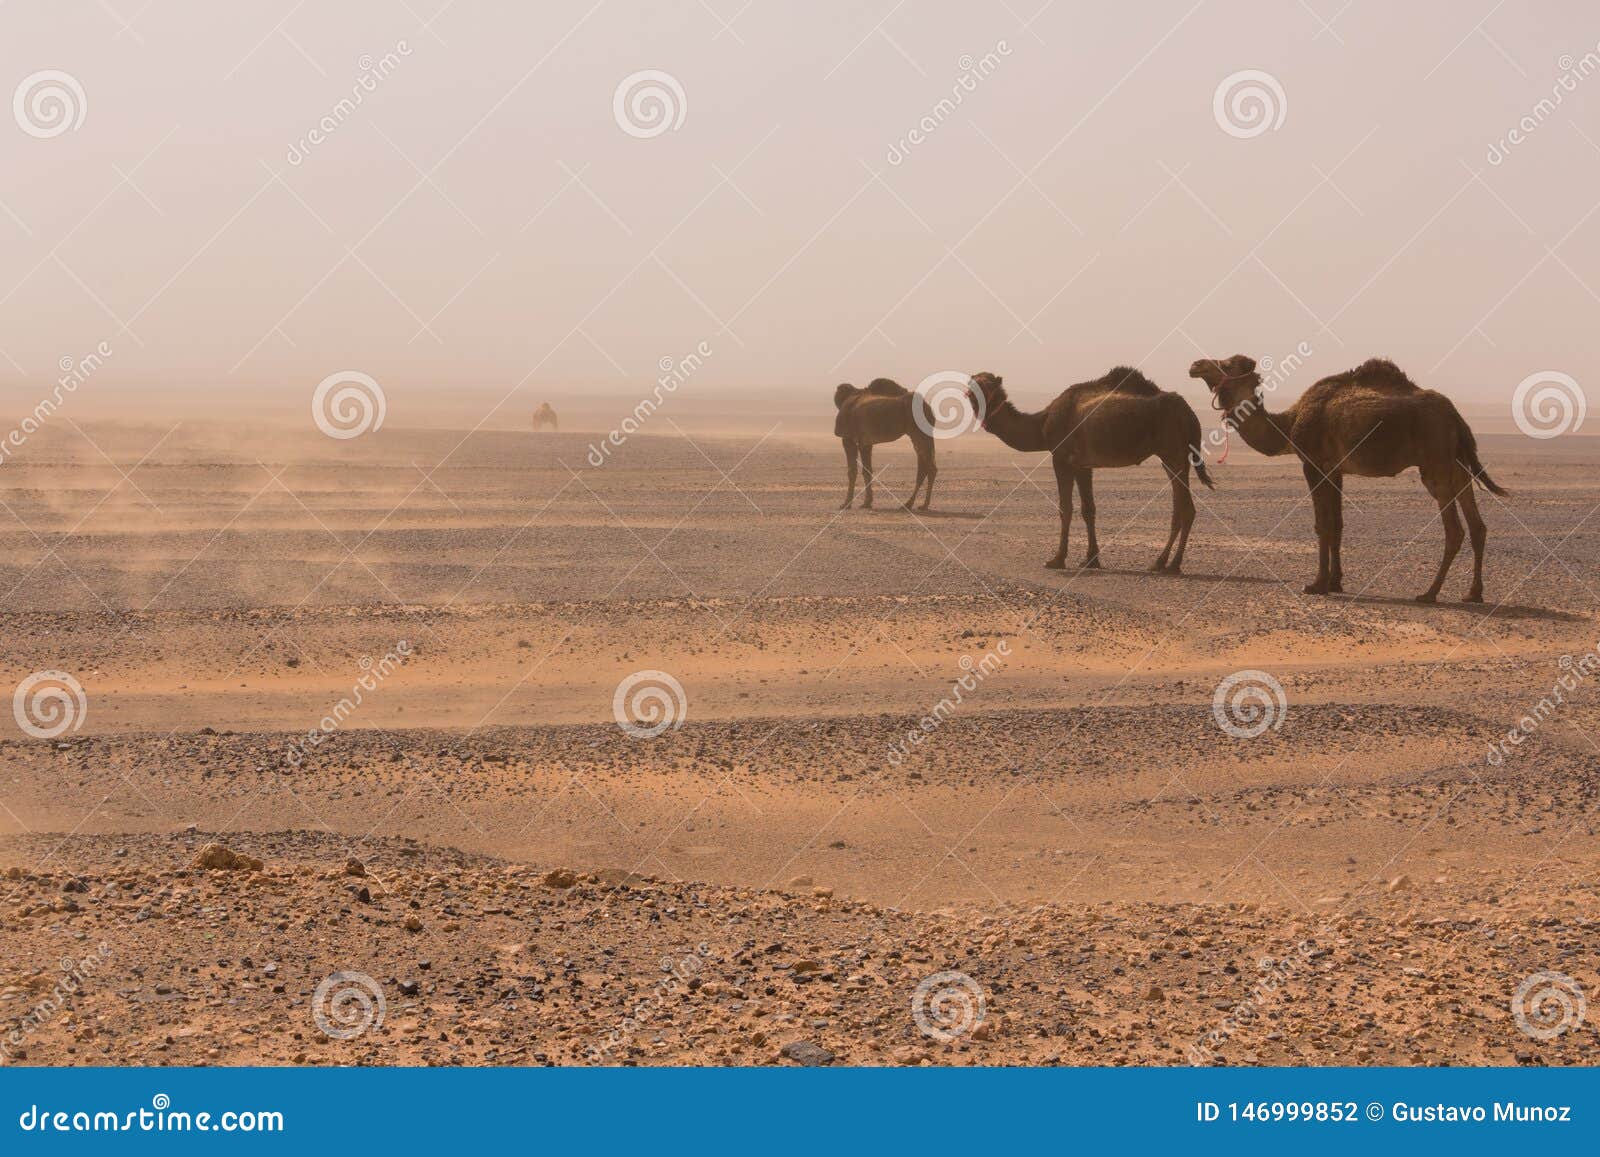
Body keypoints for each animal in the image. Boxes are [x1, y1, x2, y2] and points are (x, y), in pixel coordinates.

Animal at [833, 379, 938, 510]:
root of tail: (928, 407)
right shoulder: (865, 443)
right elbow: (867, 470)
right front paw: (867, 503)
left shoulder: (847, 437)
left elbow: (852, 471)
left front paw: (846, 504)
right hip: (923, 435)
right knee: (926, 467)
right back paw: (914, 504)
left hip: (919, 434)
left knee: (928, 468)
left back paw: (915, 504)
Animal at [966, 368, 1214, 572]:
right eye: (971, 388)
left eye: (988, 387)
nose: (977, 398)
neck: (1043, 423)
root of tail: (1190, 413)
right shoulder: (1082, 465)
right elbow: (1088, 510)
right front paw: (1090, 559)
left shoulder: (1061, 459)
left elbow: (1065, 508)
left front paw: (1057, 559)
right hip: (1177, 458)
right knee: (1181, 507)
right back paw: (1163, 562)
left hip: (1172, 453)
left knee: (1186, 509)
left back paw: (1170, 564)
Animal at [1188, 355, 1506, 603]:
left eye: (1226, 363)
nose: (1195, 365)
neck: (1289, 424)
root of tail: (1456, 415)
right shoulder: (1335, 470)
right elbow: (1338, 525)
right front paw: (1335, 581)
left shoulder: (1313, 464)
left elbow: (1322, 525)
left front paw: (1316, 584)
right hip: (1457, 463)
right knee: (1477, 526)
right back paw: (1473, 593)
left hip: (1435, 464)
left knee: (1455, 530)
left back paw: (1430, 593)